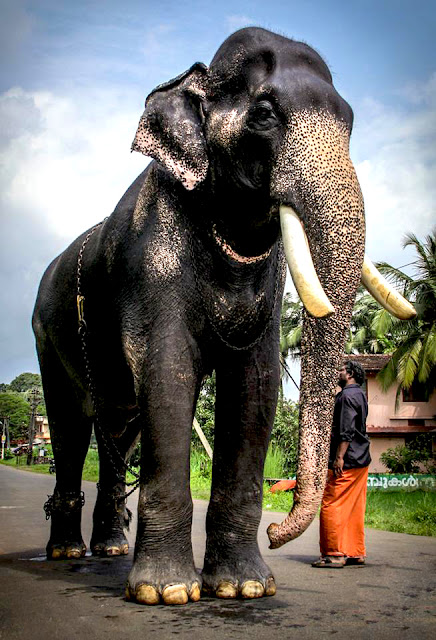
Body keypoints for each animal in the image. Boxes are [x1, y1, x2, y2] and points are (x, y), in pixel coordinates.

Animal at [33, 27, 414, 605]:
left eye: (350, 120)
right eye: (264, 113)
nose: (278, 533)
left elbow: (254, 386)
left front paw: (245, 588)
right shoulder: (154, 258)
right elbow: (169, 375)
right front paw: (167, 592)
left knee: (119, 428)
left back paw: (111, 549)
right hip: (46, 334)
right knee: (71, 424)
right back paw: (67, 553)